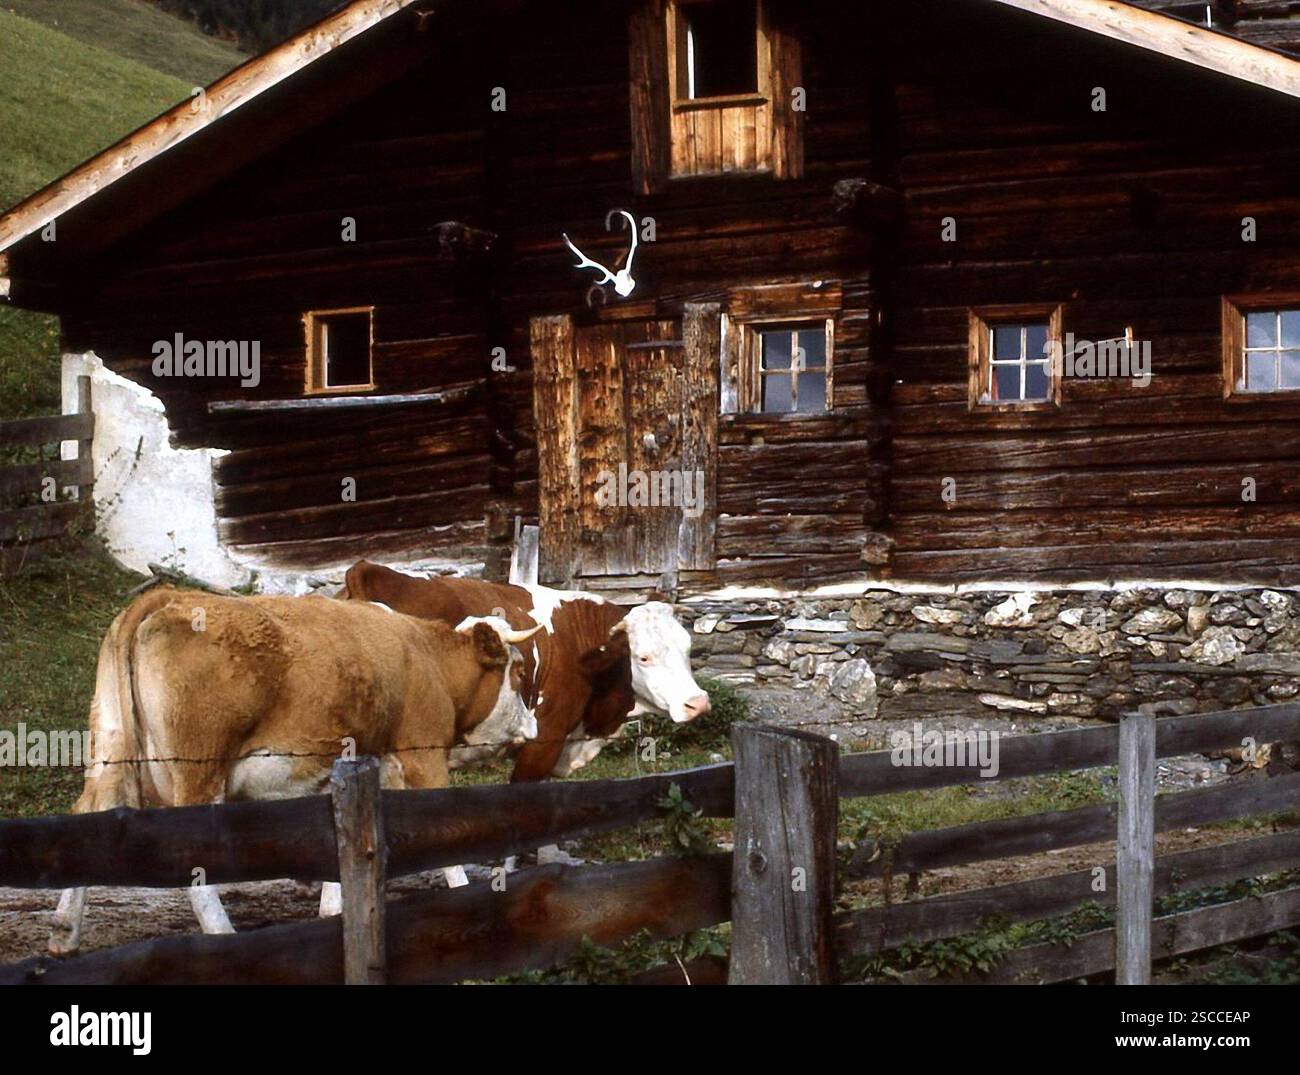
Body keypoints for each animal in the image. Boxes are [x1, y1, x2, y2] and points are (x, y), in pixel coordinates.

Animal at [48, 586, 540, 956]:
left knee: (88, 816)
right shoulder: (423, 757)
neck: (426, 658)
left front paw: (335, 910)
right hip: (199, 772)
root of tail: (166, 596)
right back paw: (223, 937)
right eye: (517, 671)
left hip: (109, 753)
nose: (532, 724)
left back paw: (64, 933)